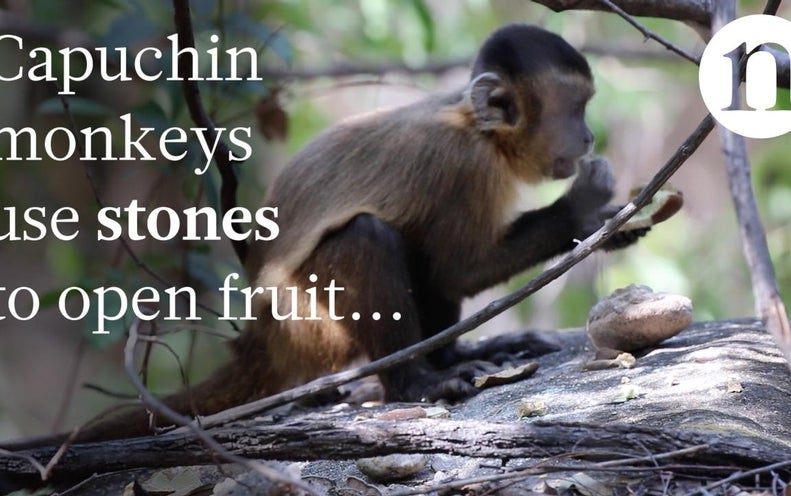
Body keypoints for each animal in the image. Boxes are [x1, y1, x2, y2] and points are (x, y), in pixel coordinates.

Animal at [2, 23, 647, 450]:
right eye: (576, 109)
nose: (588, 136)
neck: (475, 128)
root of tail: (260, 337)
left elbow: (442, 268)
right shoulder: (460, 164)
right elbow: (458, 267)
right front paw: (583, 214)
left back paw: (453, 355)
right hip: (307, 326)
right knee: (370, 237)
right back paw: (416, 379)